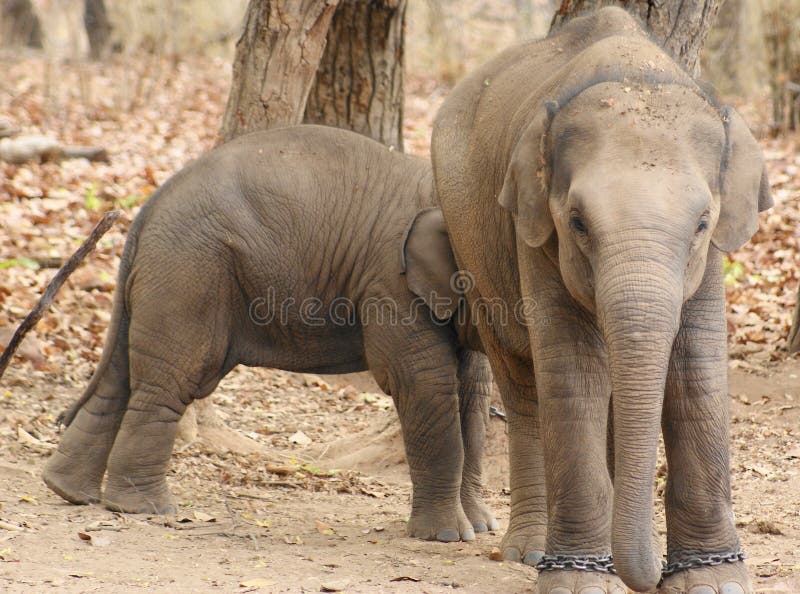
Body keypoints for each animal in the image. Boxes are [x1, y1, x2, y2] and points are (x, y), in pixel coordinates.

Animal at [43, 125, 498, 544]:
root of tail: (145, 210)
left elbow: (472, 391)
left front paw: (481, 527)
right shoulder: (390, 284)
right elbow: (422, 382)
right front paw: (448, 537)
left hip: (165, 277)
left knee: (120, 376)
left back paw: (71, 492)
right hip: (188, 272)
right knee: (169, 382)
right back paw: (145, 507)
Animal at [426, 7, 772, 594]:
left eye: (702, 224)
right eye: (578, 223)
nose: (650, 577)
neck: (634, 74)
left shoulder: (709, 264)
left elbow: (696, 370)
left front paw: (712, 579)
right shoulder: (534, 233)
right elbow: (574, 370)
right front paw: (580, 582)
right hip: (473, 241)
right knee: (522, 382)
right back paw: (530, 549)